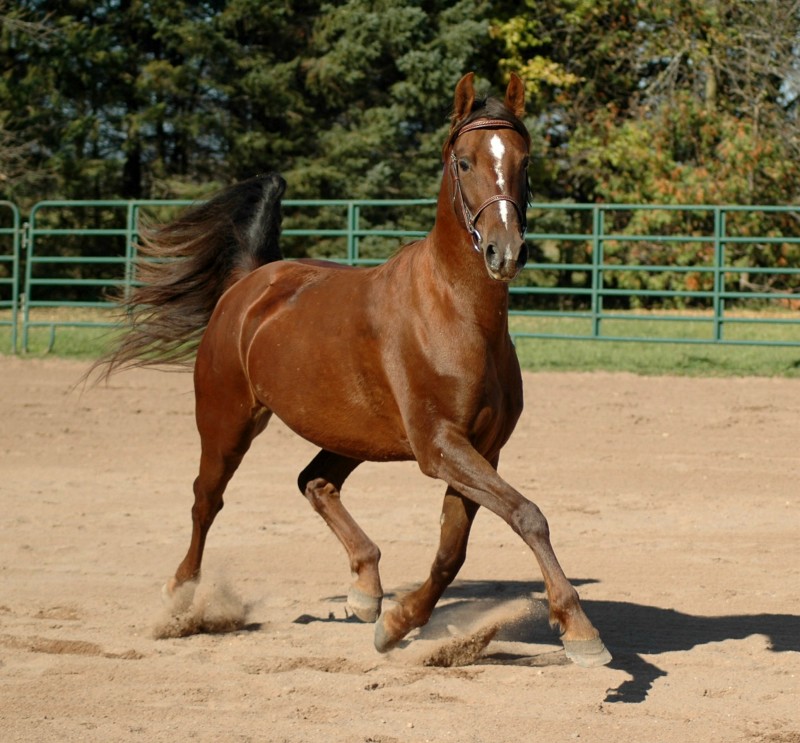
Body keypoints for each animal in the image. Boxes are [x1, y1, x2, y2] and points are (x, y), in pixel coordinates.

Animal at [96, 72, 611, 668]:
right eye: (464, 162)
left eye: (526, 161)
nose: (505, 251)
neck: (455, 313)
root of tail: (249, 283)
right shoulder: (440, 446)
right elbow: (528, 515)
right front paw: (579, 628)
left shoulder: (481, 447)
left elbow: (452, 550)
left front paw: (396, 623)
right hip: (227, 420)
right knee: (208, 499)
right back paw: (180, 599)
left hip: (348, 432)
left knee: (314, 482)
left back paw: (366, 590)